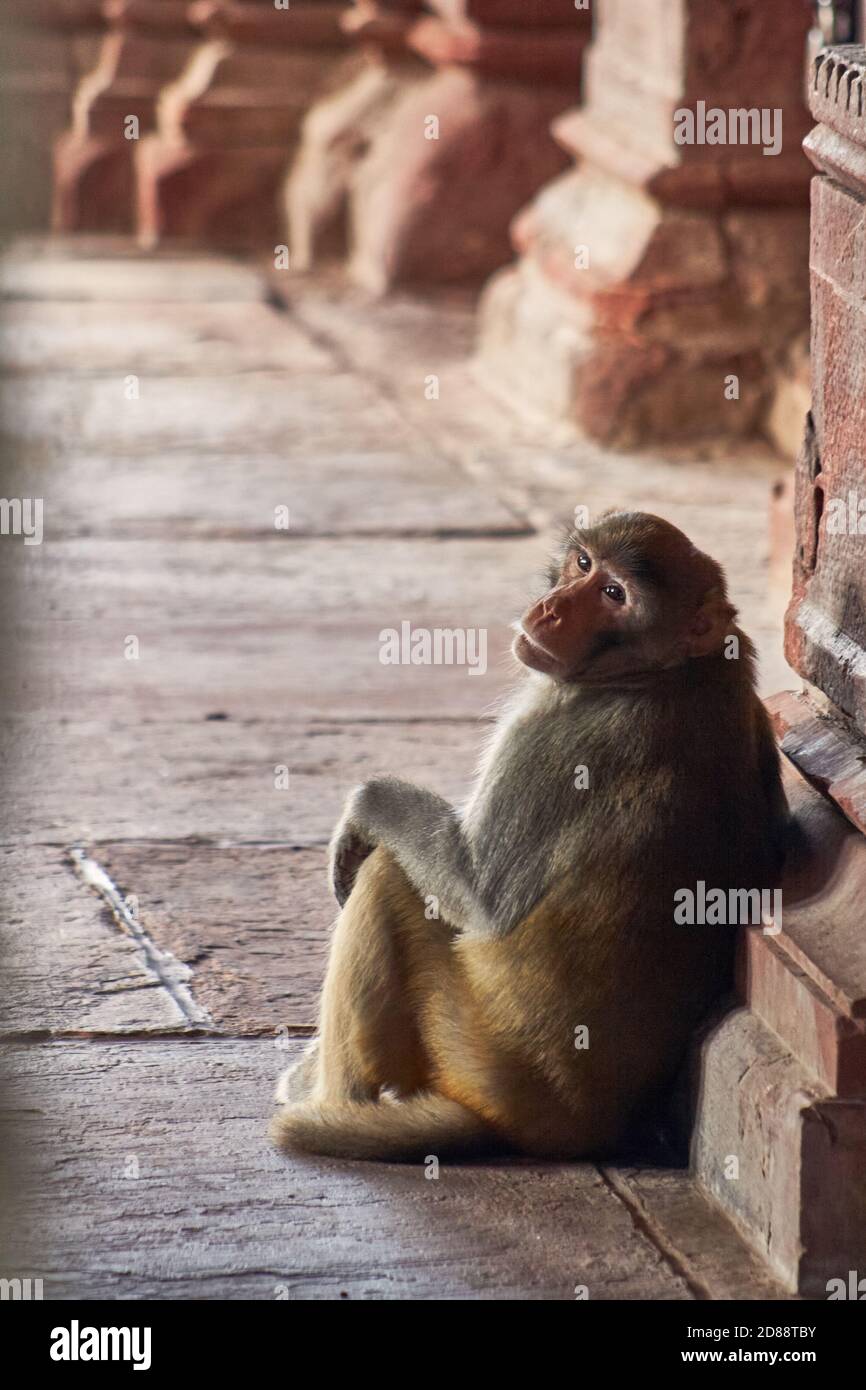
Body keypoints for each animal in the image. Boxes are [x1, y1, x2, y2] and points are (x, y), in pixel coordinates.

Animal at [271, 511, 789, 1162]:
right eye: (584, 565)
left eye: (614, 595)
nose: (552, 610)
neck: (668, 671)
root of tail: (576, 1127)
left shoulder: (555, 734)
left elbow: (477, 892)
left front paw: (365, 806)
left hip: (471, 1046)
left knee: (390, 879)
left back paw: (332, 1107)